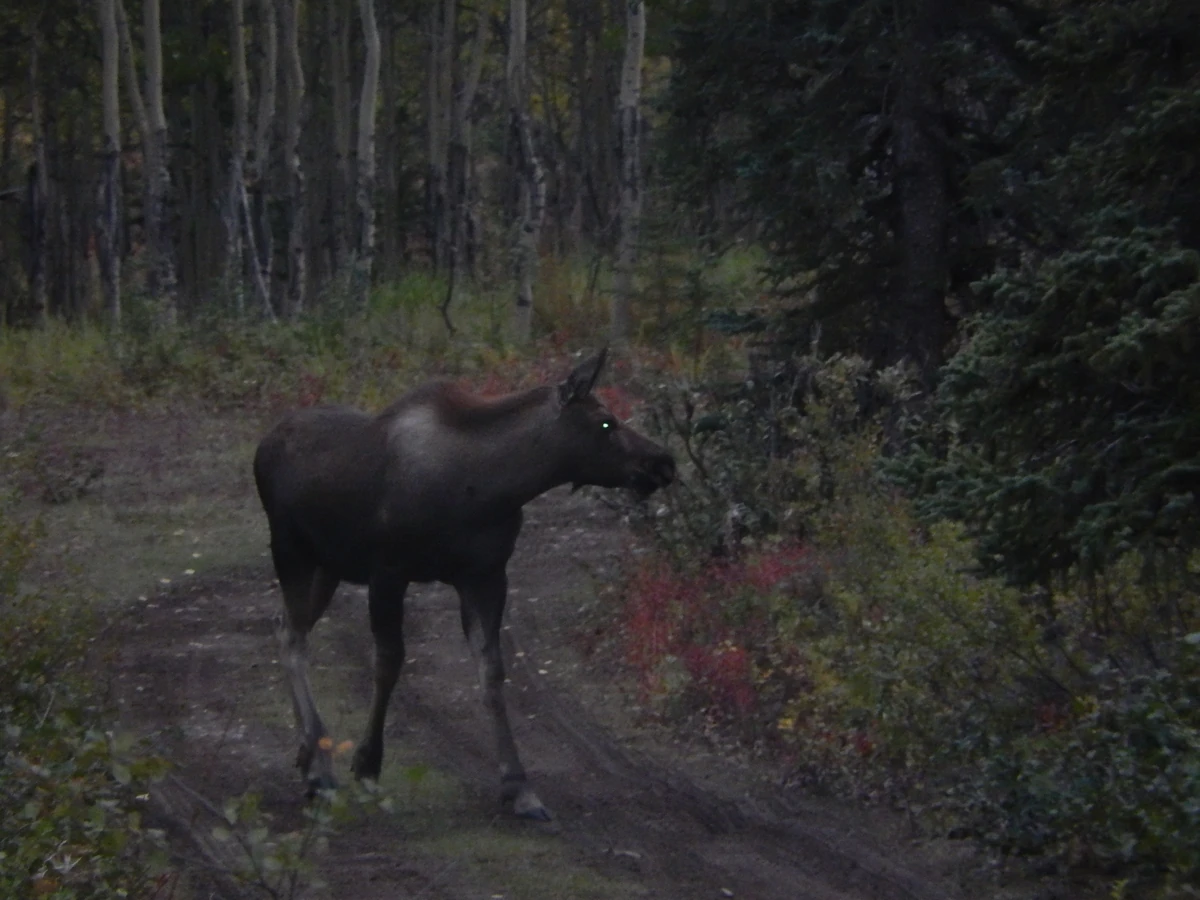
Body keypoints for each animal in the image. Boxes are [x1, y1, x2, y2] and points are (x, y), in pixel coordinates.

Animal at [253, 350, 675, 820]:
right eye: (605, 422)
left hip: (327, 566)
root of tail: (264, 443)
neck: (490, 488)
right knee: (293, 639)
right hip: (290, 550)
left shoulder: (486, 575)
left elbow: (491, 671)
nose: (663, 462)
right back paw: (319, 771)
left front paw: (519, 787)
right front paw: (367, 764)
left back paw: (308, 754)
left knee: (286, 629)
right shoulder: (389, 571)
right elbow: (388, 664)